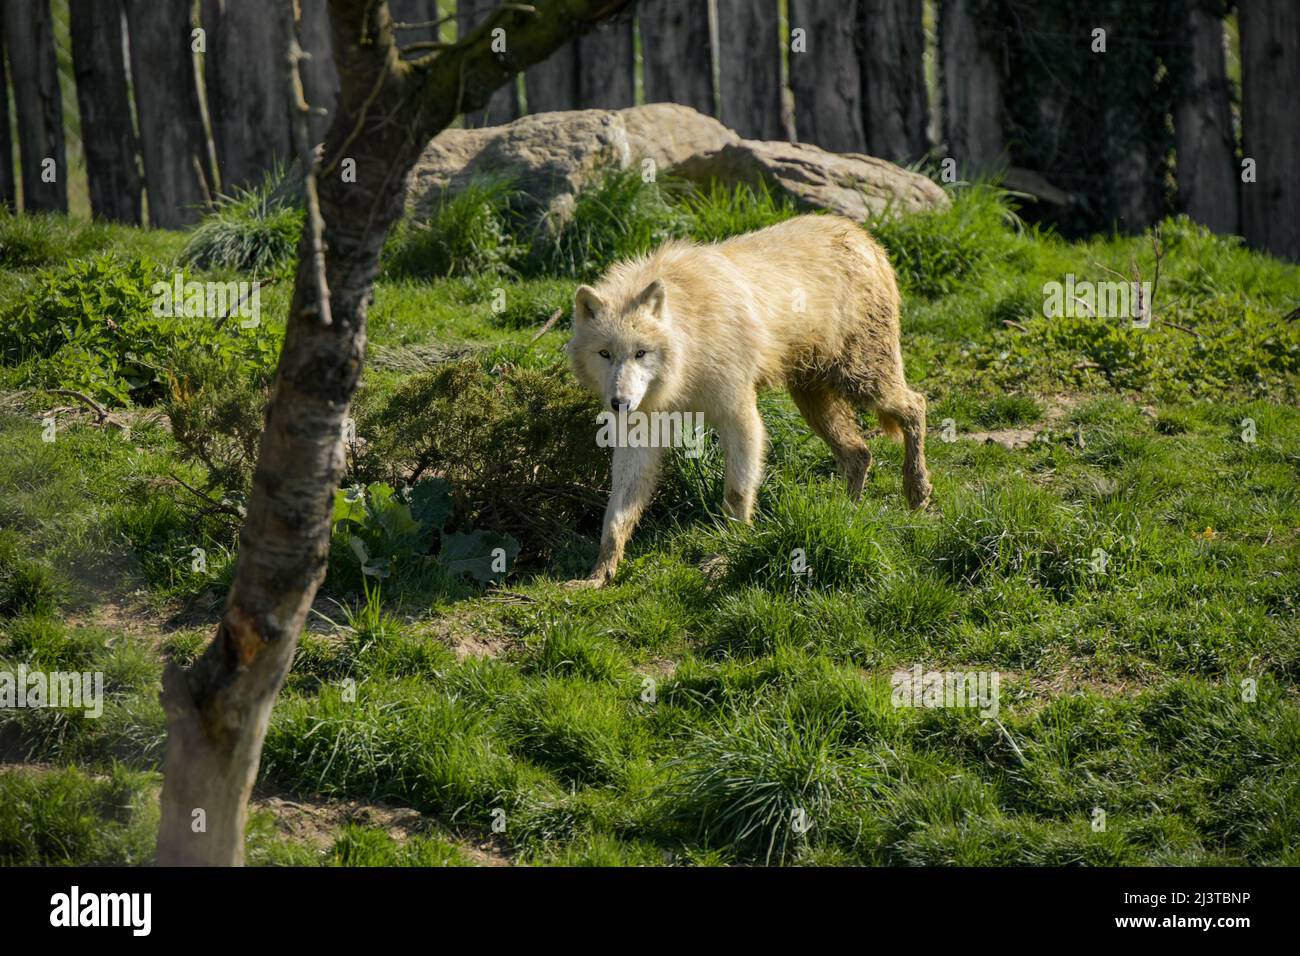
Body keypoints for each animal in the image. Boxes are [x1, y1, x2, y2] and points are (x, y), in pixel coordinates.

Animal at [565, 213, 932, 587]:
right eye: (605, 354)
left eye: (641, 353)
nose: (620, 403)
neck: (690, 346)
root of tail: (866, 238)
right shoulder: (640, 432)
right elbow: (617, 514)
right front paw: (599, 574)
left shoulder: (739, 415)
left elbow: (737, 494)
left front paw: (727, 555)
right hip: (813, 400)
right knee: (860, 454)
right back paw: (848, 516)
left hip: (862, 383)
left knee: (915, 405)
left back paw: (916, 491)